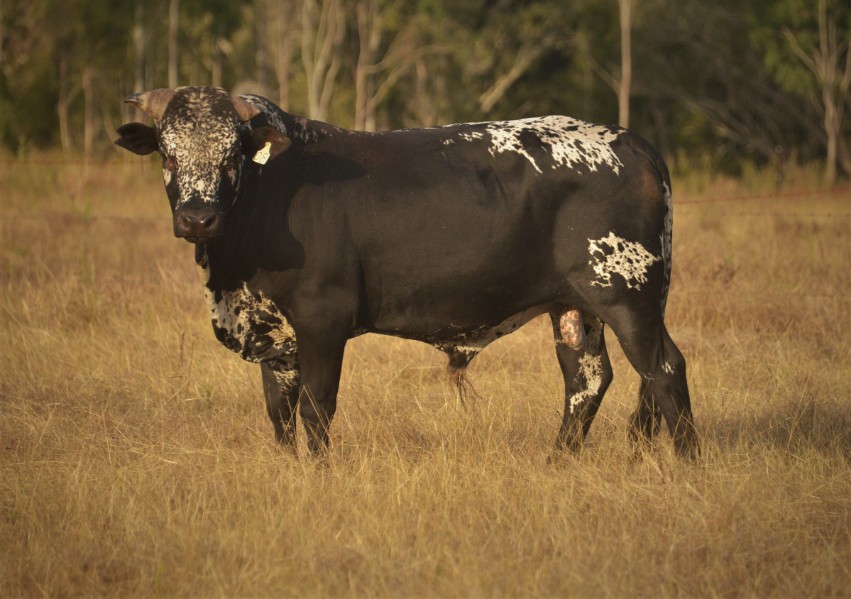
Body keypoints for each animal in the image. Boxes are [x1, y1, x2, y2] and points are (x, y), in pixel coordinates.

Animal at [114, 86, 699, 459]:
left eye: (232, 153)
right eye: (167, 154)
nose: (197, 218)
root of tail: (633, 142)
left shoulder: (323, 320)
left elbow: (316, 409)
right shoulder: (274, 336)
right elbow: (279, 413)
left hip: (628, 296)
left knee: (664, 370)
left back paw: (687, 462)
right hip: (576, 307)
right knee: (587, 380)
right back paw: (559, 461)